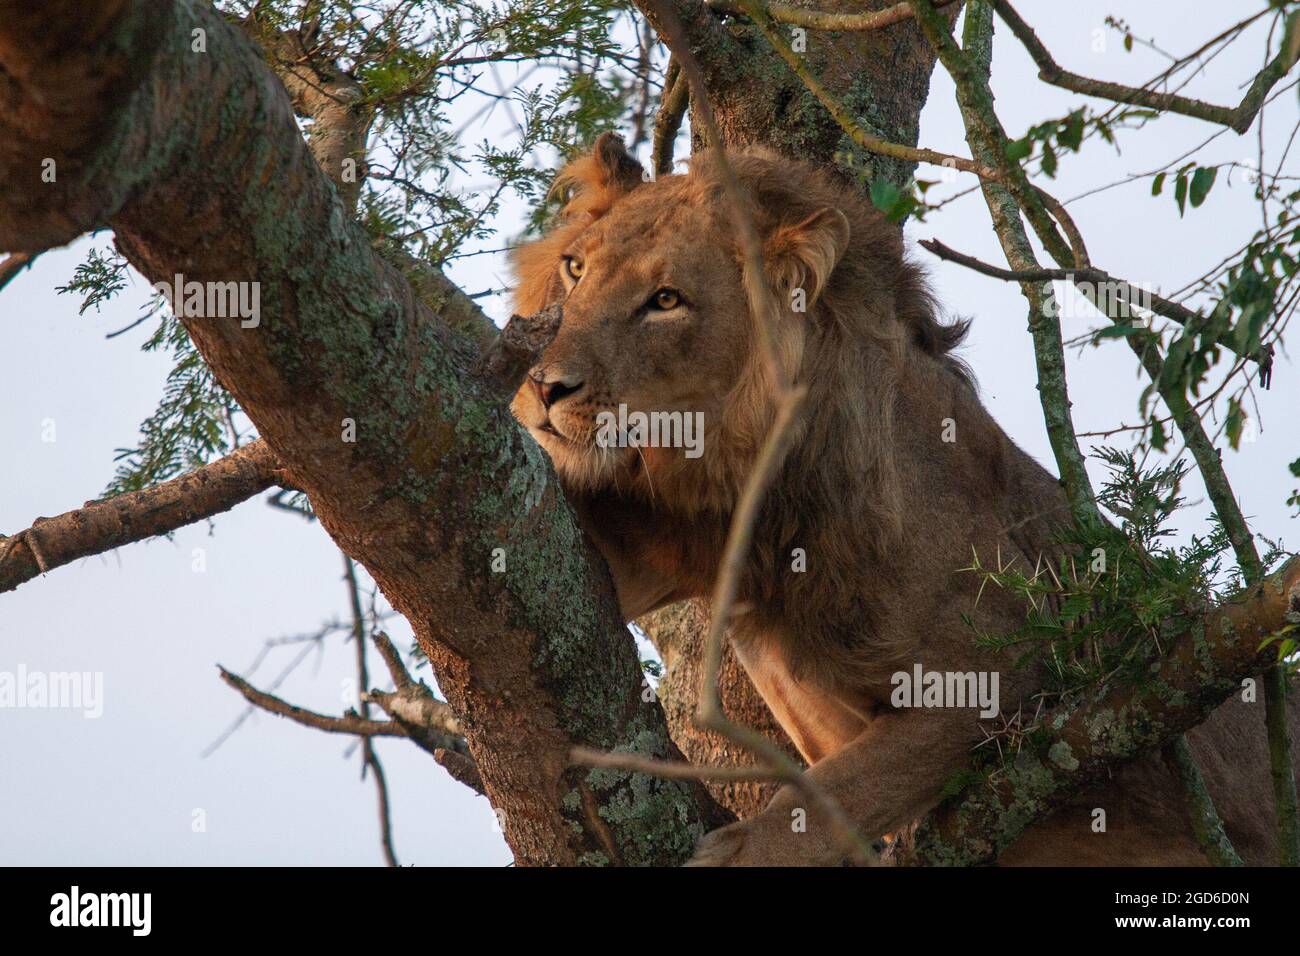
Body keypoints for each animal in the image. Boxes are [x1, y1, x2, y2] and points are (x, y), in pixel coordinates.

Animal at [511, 133, 1296, 866]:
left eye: (666, 301)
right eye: (575, 268)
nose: (544, 386)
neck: (759, 492)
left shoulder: (1009, 655)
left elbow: (847, 787)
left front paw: (741, 852)